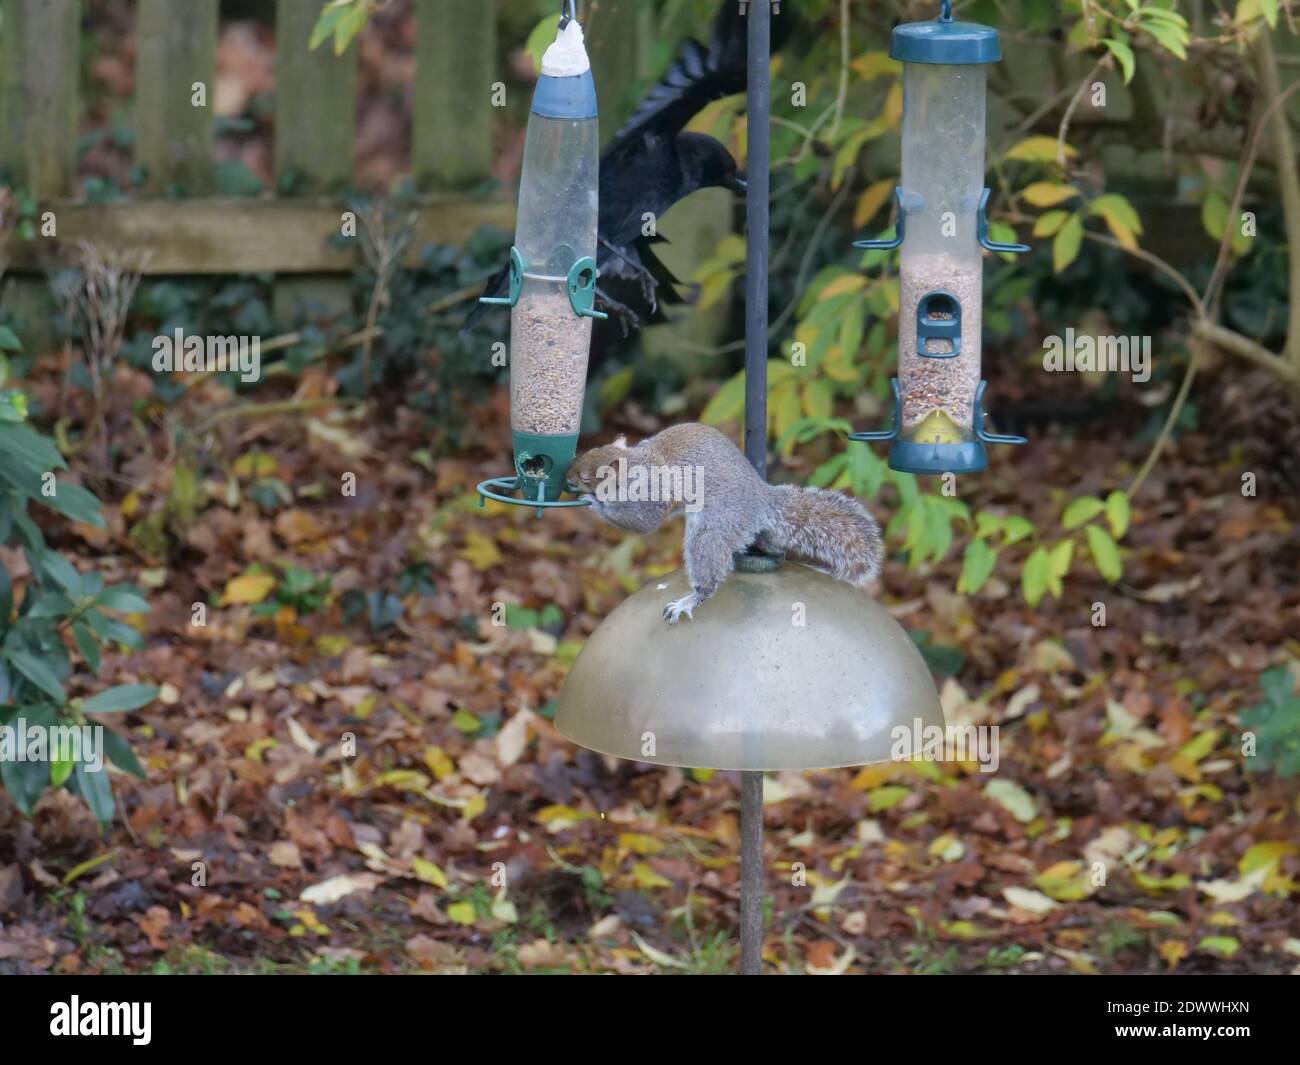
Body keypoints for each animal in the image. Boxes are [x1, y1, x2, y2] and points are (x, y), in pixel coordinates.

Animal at [567, 423, 884, 624]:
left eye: (587, 476)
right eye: (583, 454)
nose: (568, 479)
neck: (636, 462)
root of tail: (760, 501)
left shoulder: (652, 494)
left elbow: (642, 522)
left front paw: (594, 503)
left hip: (712, 530)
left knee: (709, 571)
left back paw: (691, 600)